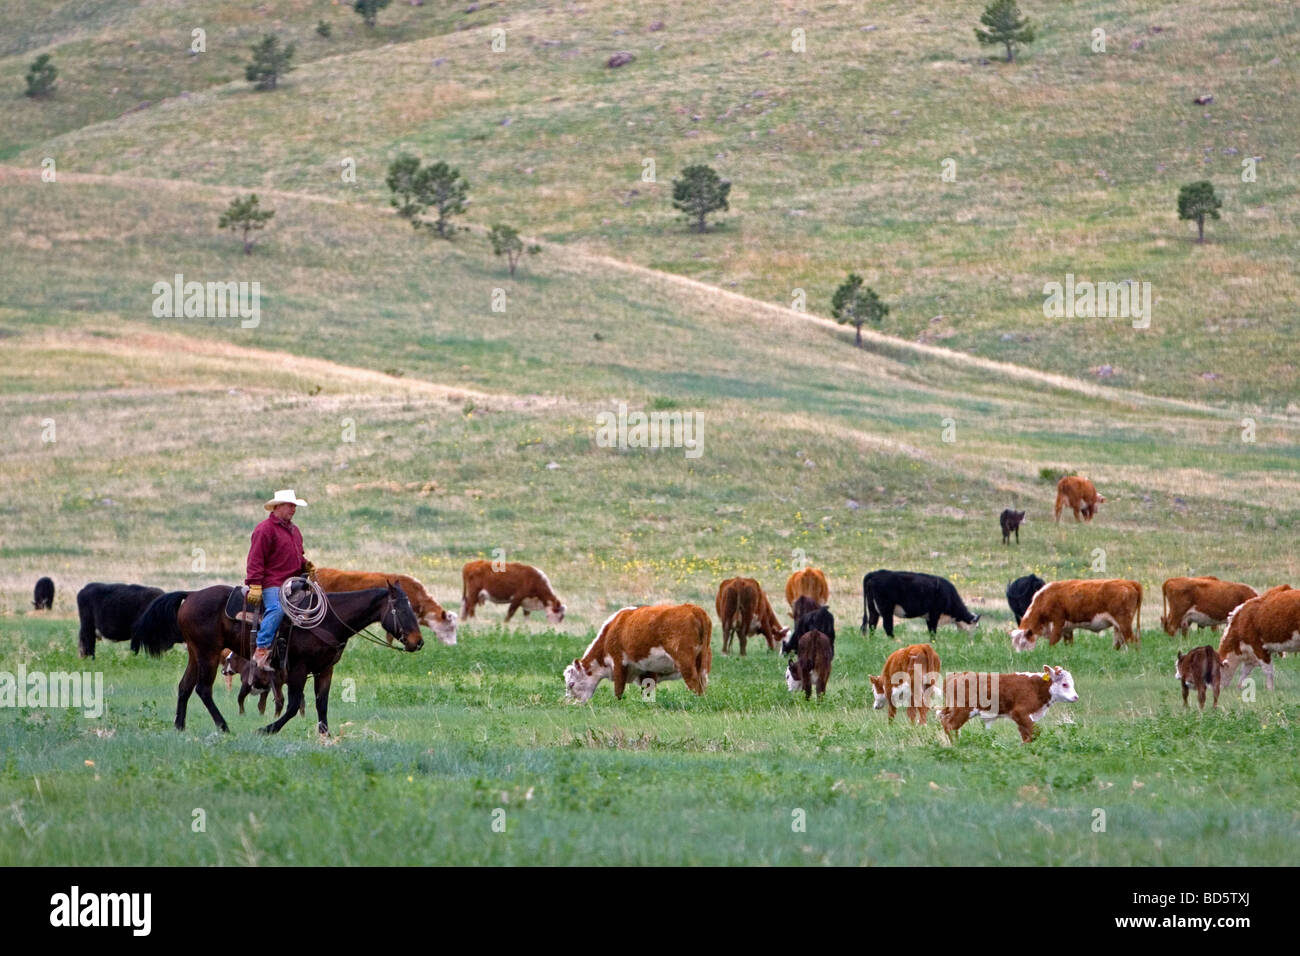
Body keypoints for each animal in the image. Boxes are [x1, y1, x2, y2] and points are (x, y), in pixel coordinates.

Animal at [564, 603, 711, 701]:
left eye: (571, 684)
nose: (569, 703)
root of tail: (694, 609)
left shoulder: (618, 662)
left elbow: (618, 690)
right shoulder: (648, 670)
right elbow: (647, 690)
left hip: (685, 661)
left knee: (694, 682)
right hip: (702, 659)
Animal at [938, 666, 1079, 743]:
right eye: (1064, 684)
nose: (1075, 697)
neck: (1036, 687)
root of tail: (956, 675)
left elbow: (1026, 735)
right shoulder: (1020, 713)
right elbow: (1034, 732)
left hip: (951, 708)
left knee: (943, 717)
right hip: (963, 710)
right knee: (950, 725)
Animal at [1010, 579, 1142, 651]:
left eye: (1023, 643)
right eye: (1014, 644)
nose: (1020, 656)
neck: (1044, 598)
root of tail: (1129, 582)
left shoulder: (1058, 622)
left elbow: (1052, 642)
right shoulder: (1067, 629)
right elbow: (1069, 643)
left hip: (1124, 623)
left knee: (1132, 641)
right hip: (1118, 626)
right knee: (1119, 642)